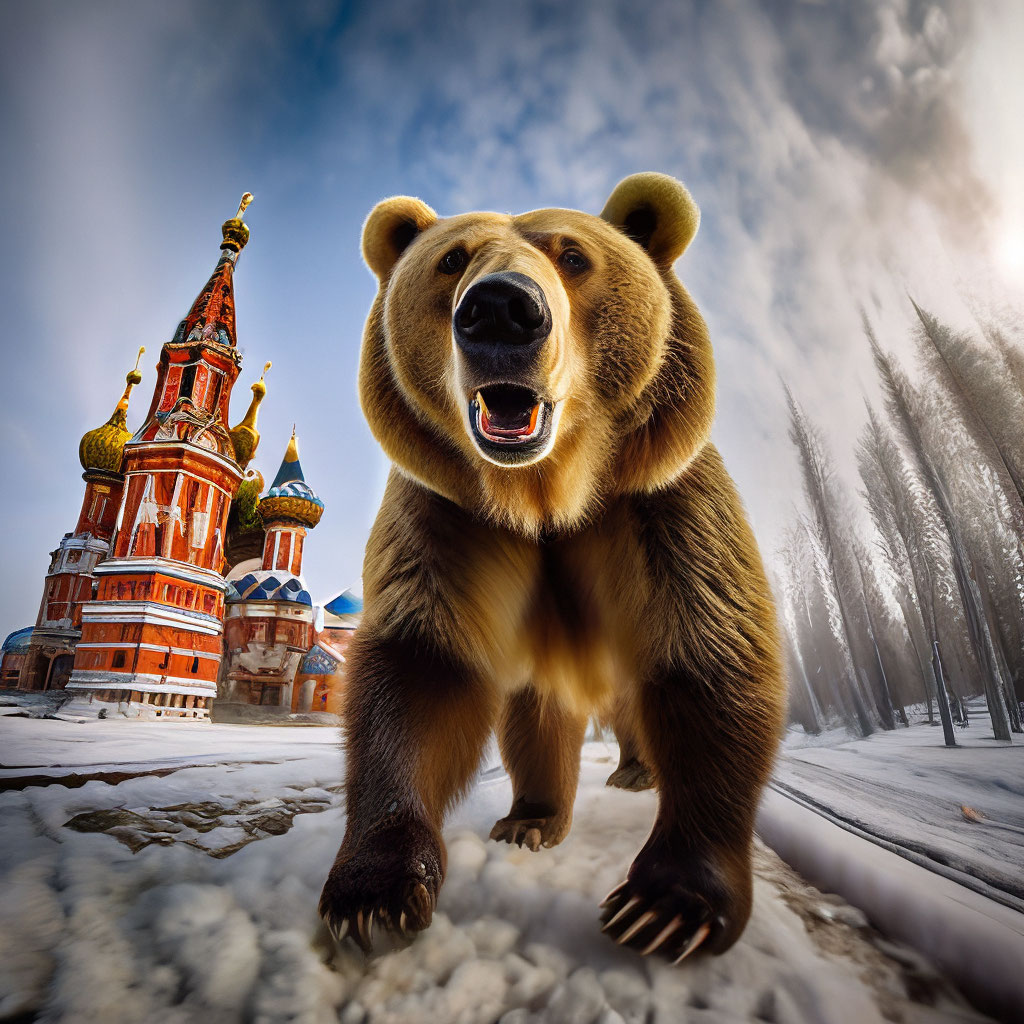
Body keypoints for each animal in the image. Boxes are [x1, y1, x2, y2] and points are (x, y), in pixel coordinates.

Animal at [319, 173, 785, 963]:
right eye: (452, 260)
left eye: (573, 255)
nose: (501, 309)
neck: (547, 501)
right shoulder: (450, 523)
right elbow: (423, 669)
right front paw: (374, 893)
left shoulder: (660, 507)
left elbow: (707, 651)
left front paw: (666, 905)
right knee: (538, 717)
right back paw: (531, 819)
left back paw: (634, 771)